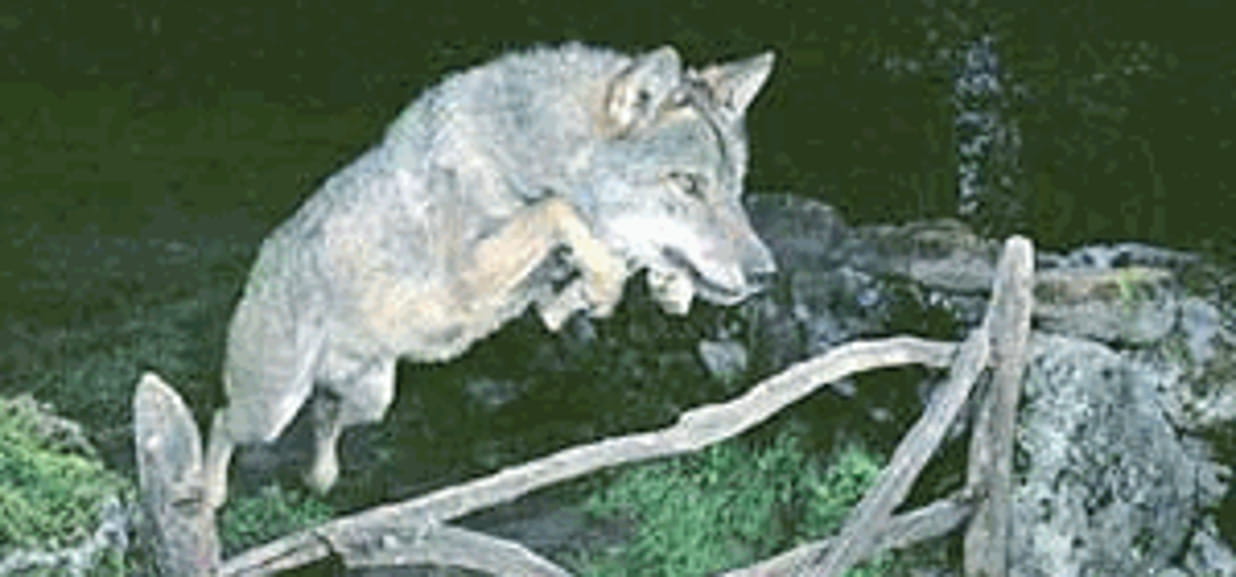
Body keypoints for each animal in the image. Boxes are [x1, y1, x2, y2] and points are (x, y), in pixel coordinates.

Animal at [202, 42, 778, 509]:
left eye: (734, 188)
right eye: (688, 184)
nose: (766, 274)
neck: (534, 152)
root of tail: (264, 256)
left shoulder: (541, 299)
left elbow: (600, 262)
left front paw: (665, 287)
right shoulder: (473, 272)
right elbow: (559, 210)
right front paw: (609, 281)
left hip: (372, 401)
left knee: (324, 418)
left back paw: (320, 478)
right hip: (269, 412)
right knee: (222, 420)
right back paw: (206, 496)